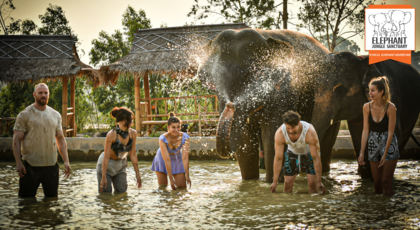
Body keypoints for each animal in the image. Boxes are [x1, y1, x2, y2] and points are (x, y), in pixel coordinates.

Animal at [198, 28, 342, 182]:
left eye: (249, 75)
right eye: (212, 82)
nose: (231, 104)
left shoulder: (286, 90)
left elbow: (273, 134)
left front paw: (273, 182)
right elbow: (245, 140)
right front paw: (250, 182)